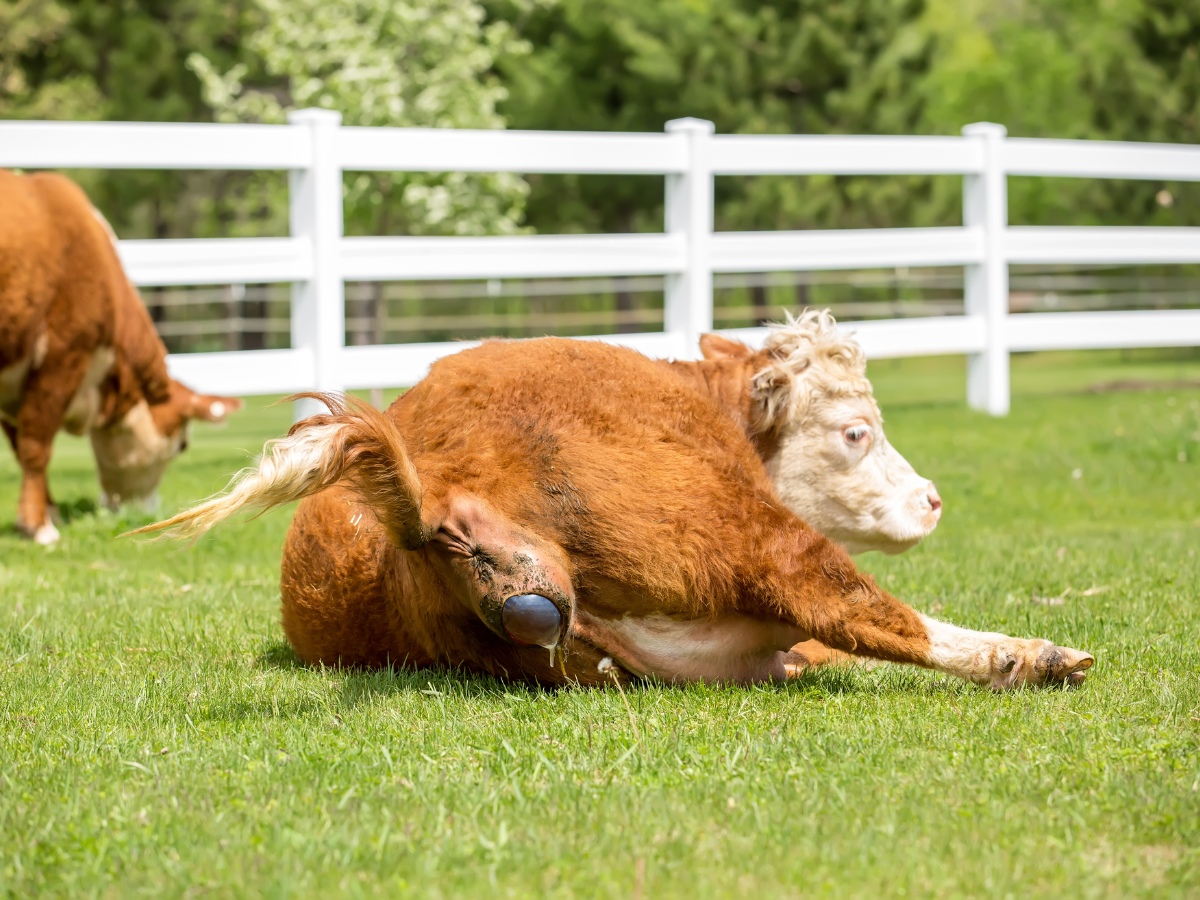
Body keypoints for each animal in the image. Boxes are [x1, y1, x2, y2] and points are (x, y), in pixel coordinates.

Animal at [0, 169, 242, 544]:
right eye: (182, 446)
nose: (150, 510)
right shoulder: (64, 355)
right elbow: (35, 446)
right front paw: (38, 526)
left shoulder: (14, 382)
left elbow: (18, 445)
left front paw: (47, 510)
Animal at [137, 338, 1092, 690]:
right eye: (856, 431)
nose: (932, 499)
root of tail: (427, 502)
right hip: (751, 539)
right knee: (860, 609)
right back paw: (1030, 654)